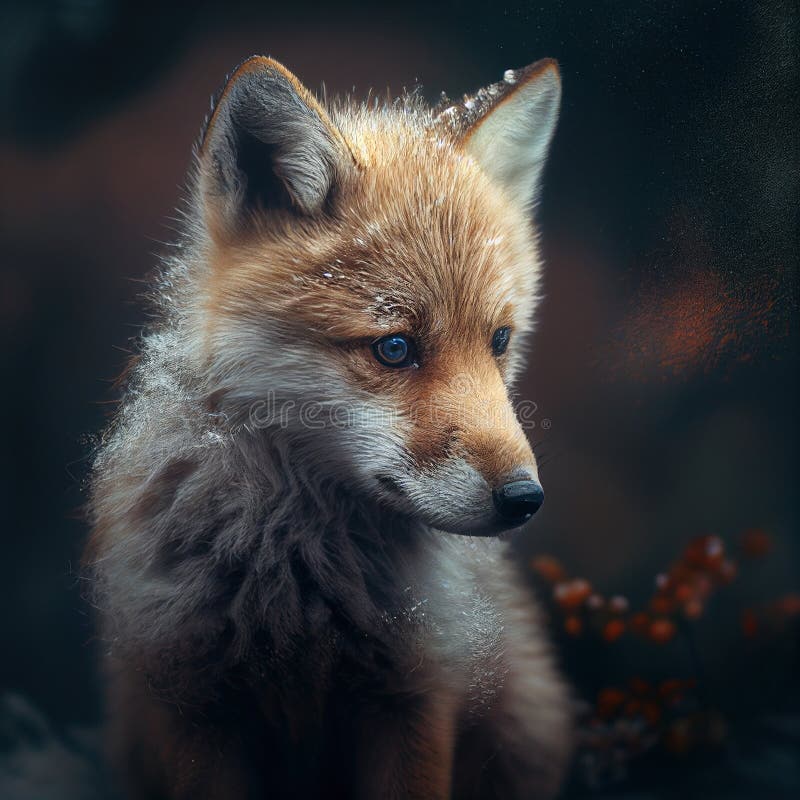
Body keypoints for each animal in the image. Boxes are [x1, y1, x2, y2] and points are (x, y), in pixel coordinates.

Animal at [85, 55, 572, 799]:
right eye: (394, 348)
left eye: (499, 341)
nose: (524, 500)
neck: (298, 579)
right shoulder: (193, 697)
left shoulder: (414, 694)